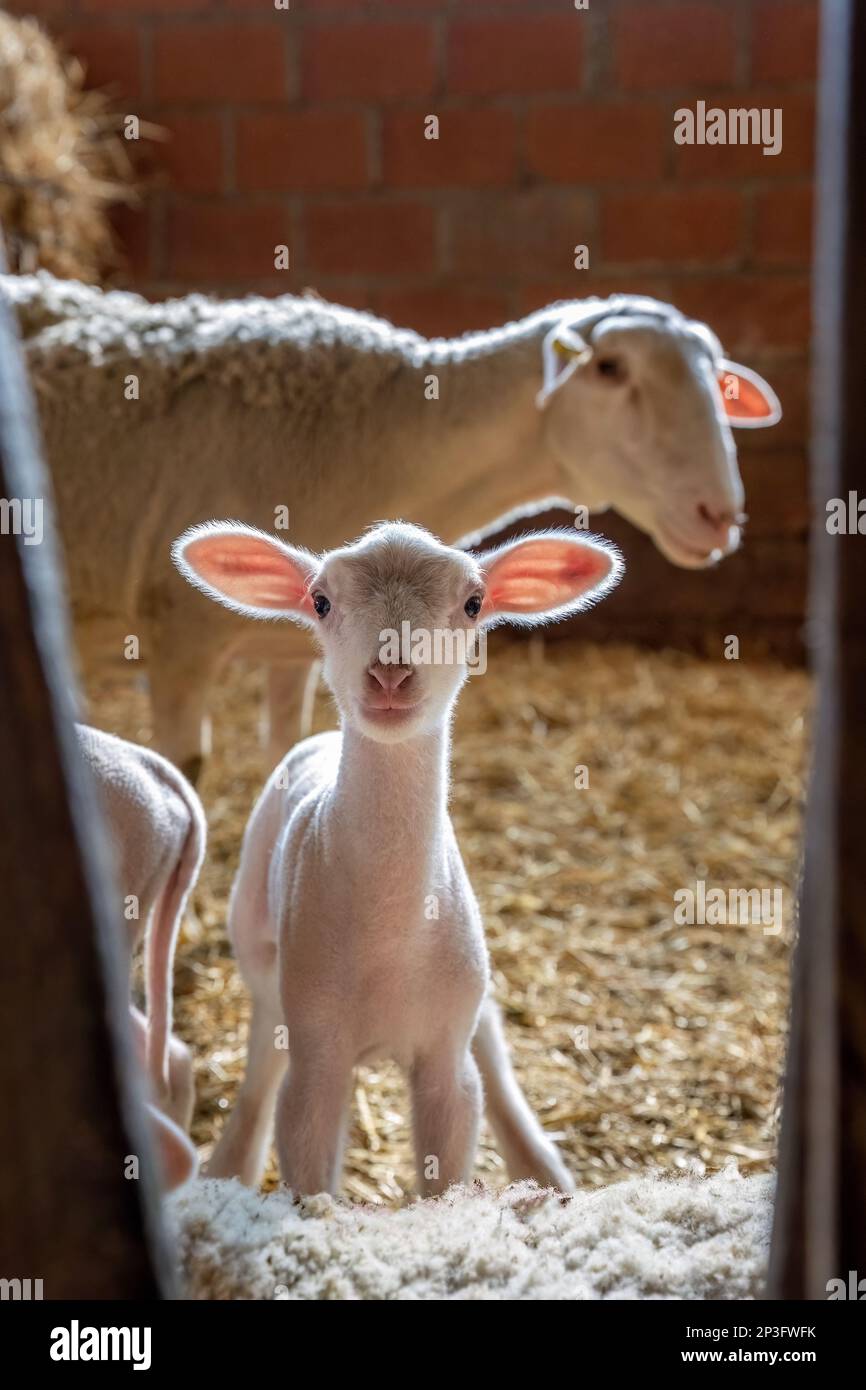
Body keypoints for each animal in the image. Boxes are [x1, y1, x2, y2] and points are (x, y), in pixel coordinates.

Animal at [6, 272, 780, 780]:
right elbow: (184, 771)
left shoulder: (292, 654)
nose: (719, 515)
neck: (381, 441)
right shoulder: (178, 640)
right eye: (611, 369)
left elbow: (286, 756)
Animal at [172, 518, 623, 1195]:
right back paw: (230, 1165)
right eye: (321, 602)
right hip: (259, 947)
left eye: (474, 603)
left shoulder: (445, 1058)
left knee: (489, 1037)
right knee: (261, 1059)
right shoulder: (317, 1053)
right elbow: (306, 1156)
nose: (389, 675)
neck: (389, 932)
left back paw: (540, 1164)